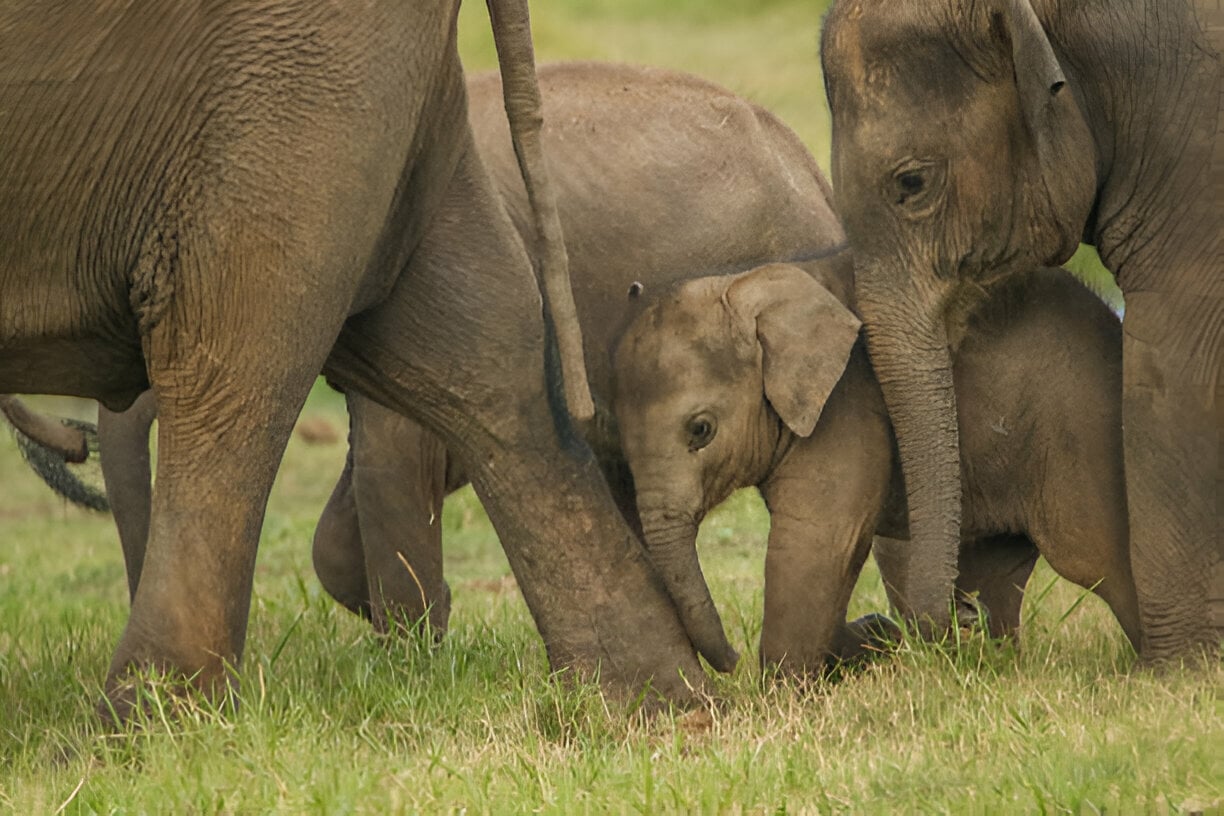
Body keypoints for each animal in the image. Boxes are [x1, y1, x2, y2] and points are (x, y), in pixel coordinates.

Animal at [0, 3, 709, 719]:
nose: (75, 444)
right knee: (485, 339)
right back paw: (654, 704)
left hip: (290, 79)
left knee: (233, 350)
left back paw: (145, 721)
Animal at [616, 256, 1140, 675]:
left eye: (700, 430)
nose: (733, 660)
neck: (748, 284)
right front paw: (874, 639)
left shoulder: (848, 407)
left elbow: (817, 539)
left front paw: (781, 692)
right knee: (995, 572)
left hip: (1078, 432)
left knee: (1098, 557)